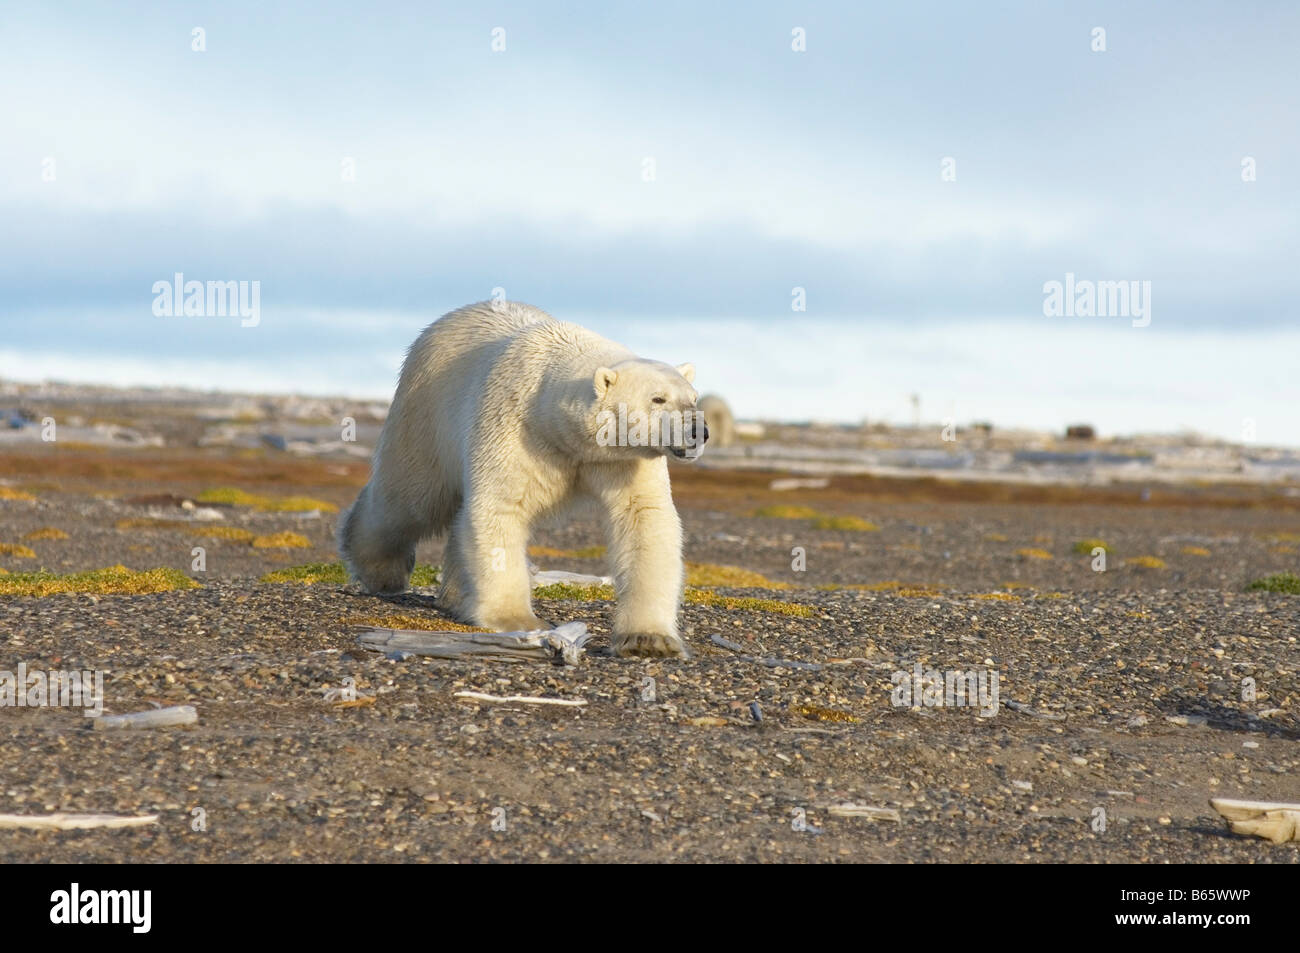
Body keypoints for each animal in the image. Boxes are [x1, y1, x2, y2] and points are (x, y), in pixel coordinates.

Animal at [338, 301, 707, 658]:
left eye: (693, 398)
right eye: (657, 398)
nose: (698, 431)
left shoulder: (623, 460)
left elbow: (644, 517)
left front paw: (649, 639)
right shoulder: (516, 429)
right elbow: (500, 506)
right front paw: (517, 620)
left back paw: (456, 596)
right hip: (424, 410)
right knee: (409, 497)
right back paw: (380, 570)